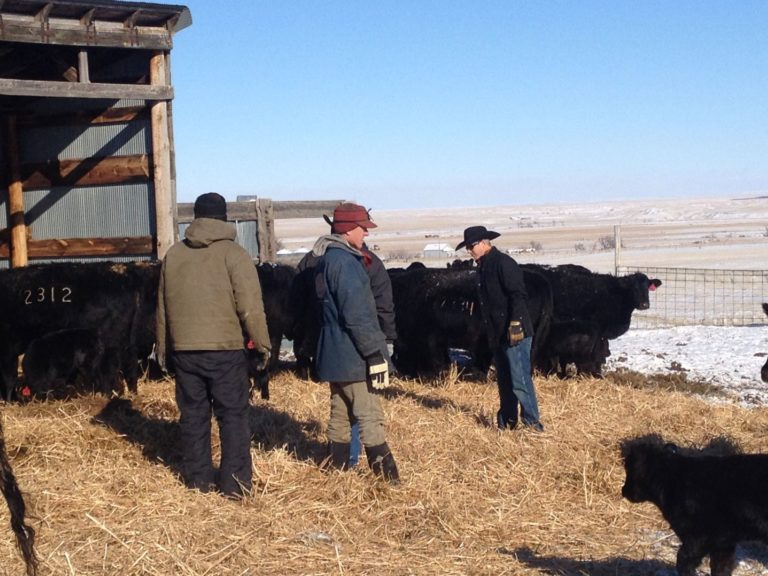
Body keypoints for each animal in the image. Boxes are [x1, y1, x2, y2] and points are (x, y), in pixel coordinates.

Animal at [0, 261, 160, 400]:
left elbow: (9, 377)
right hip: (125, 342)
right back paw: (132, 394)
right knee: (129, 367)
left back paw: (105, 396)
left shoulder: (7, 348)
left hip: (110, 342)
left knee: (108, 370)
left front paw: (10, 400)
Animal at [621, 434, 768, 576]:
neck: (672, 481)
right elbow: (721, 567)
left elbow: (683, 560)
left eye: (630, 470)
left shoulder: (698, 538)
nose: (624, 491)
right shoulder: (723, 543)